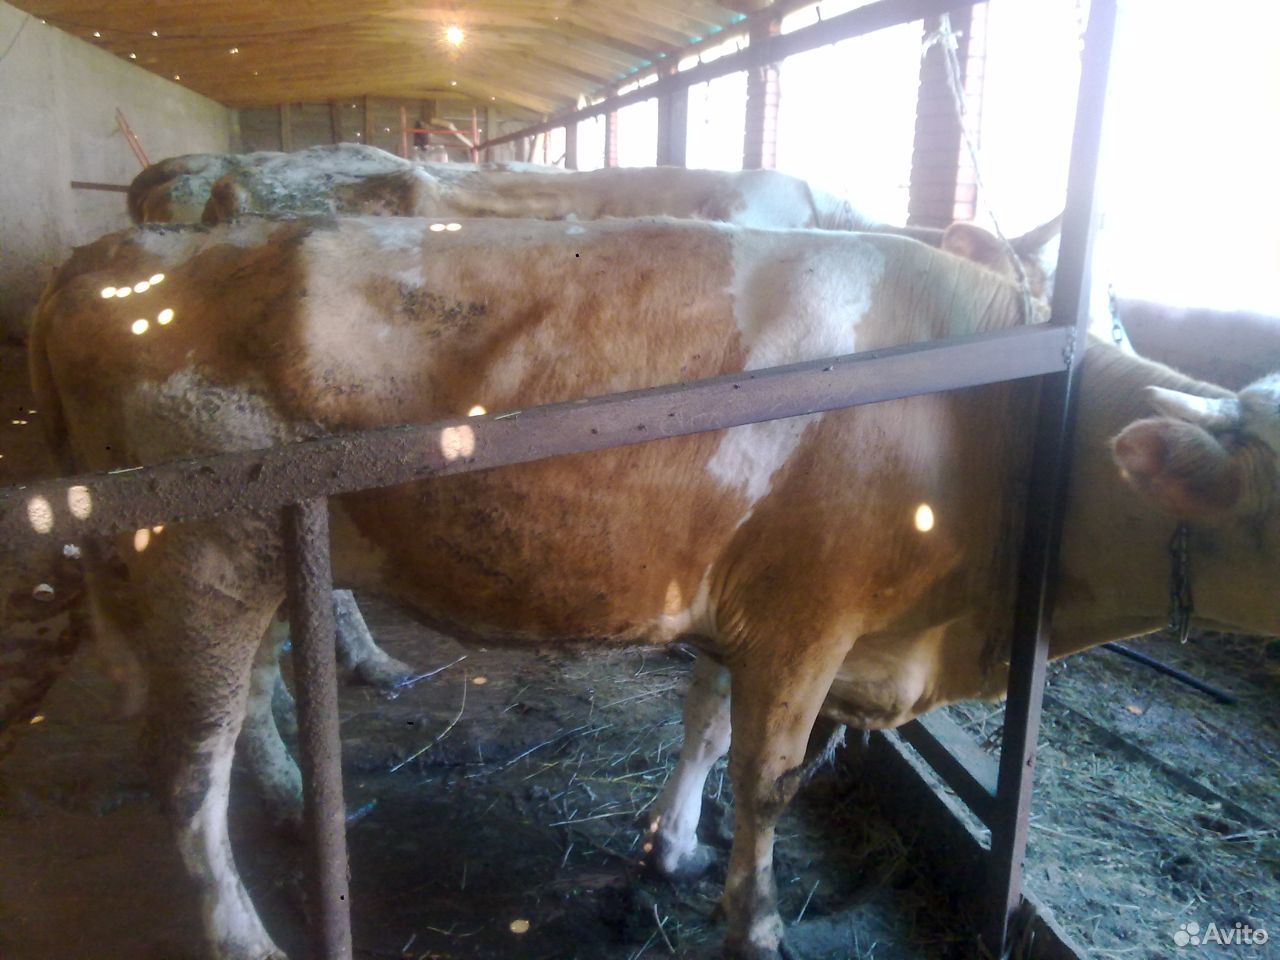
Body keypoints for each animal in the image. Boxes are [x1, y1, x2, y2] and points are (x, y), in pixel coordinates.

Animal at [34, 214, 1262, 960]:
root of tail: (114, 251)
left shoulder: (745, 608)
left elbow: (704, 724)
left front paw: (670, 847)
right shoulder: (808, 618)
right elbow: (767, 782)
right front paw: (753, 924)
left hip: (242, 571)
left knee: (243, 709)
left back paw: (297, 798)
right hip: (191, 564)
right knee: (185, 778)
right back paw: (246, 932)